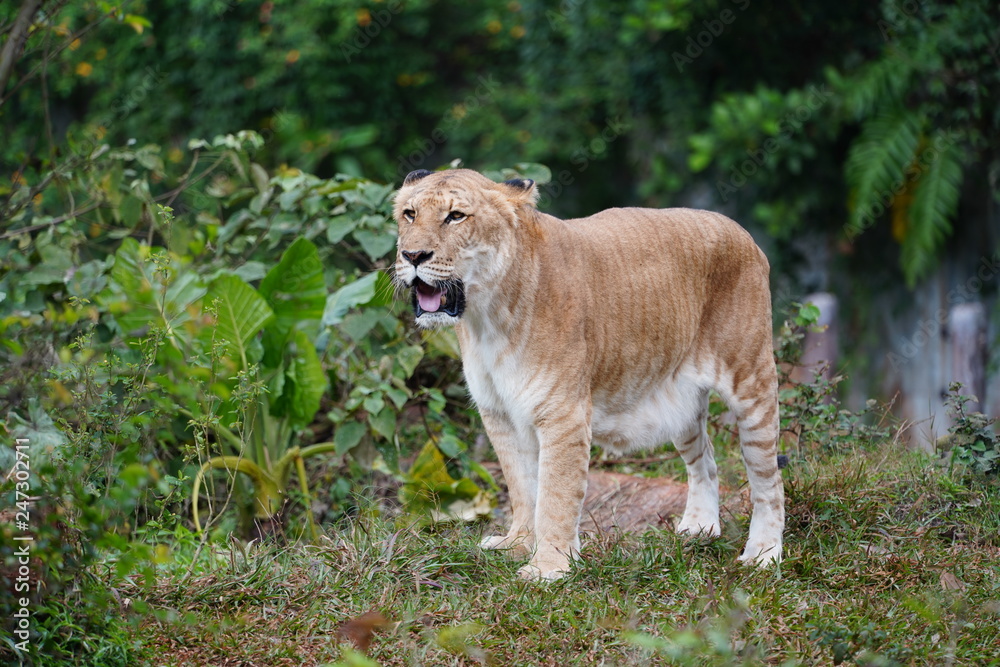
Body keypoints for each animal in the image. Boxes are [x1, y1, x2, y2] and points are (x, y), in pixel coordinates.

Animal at [393, 168, 784, 580]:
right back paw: (699, 528)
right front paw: (517, 545)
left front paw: (547, 568)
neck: (487, 320)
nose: (413, 256)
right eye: (409, 214)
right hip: (682, 403)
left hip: (752, 381)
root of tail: (741, 231)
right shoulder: (499, 414)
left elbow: (555, 495)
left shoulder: (562, 415)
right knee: (705, 461)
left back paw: (763, 554)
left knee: (767, 480)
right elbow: (521, 487)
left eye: (456, 216)